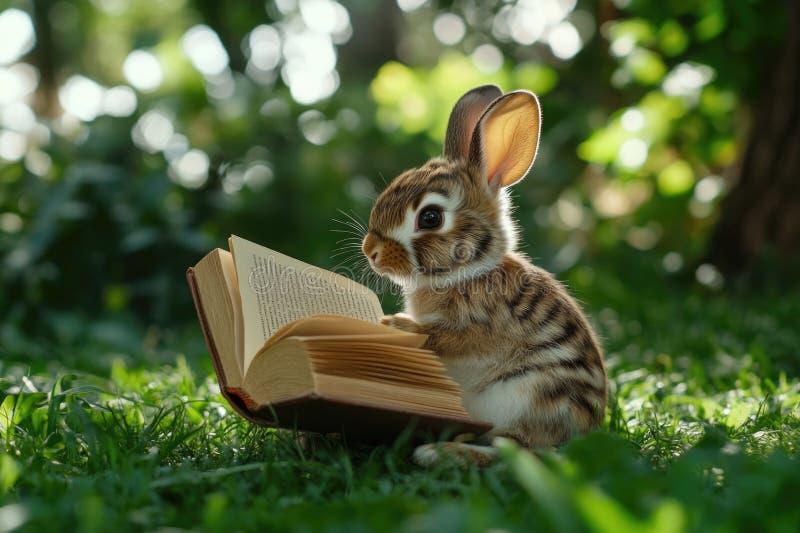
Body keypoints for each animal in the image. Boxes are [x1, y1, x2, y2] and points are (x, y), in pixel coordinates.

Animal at [361, 85, 607, 466]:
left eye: (430, 217)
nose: (369, 250)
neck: (467, 272)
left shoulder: (481, 327)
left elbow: (443, 338)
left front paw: (396, 325)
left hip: (525, 394)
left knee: (517, 450)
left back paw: (437, 452)